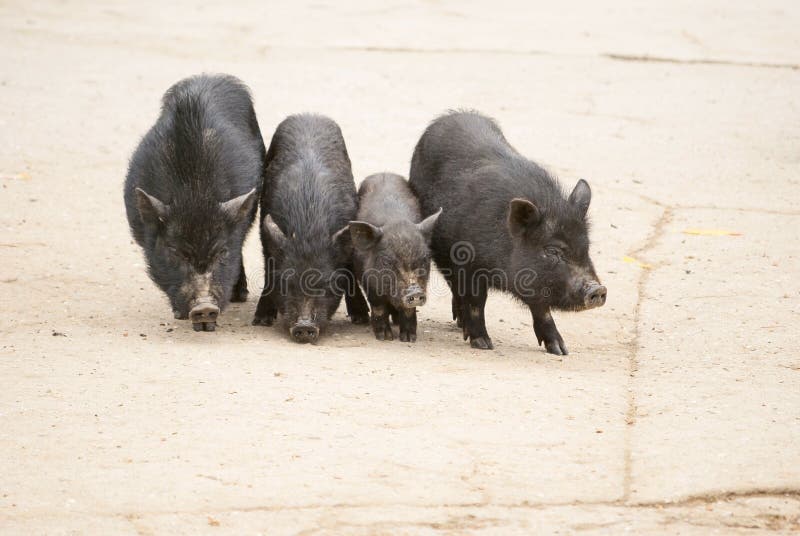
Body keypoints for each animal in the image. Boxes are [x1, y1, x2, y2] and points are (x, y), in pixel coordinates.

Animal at [252, 114, 369, 343]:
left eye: (324, 285)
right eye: (288, 284)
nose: (304, 326)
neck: (308, 228)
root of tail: (309, 115)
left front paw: (362, 319)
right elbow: (269, 270)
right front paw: (260, 321)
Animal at [348, 173, 441, 342]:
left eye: (424, 259)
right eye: (387, 262)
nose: (415, 292)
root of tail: (383, 173)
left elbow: (409, 310)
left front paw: (409, 339)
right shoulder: (369, 281)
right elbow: (378, 307)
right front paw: (385, 338)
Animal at [409, 111, 606, 355]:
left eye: (586, 247)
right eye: (552, 251)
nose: (598, 289)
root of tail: (453, 114)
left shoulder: (537, 280)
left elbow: (542, 309)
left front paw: (560, 350)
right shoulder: (469, 266)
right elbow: (476, 303)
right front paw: (483, 344)